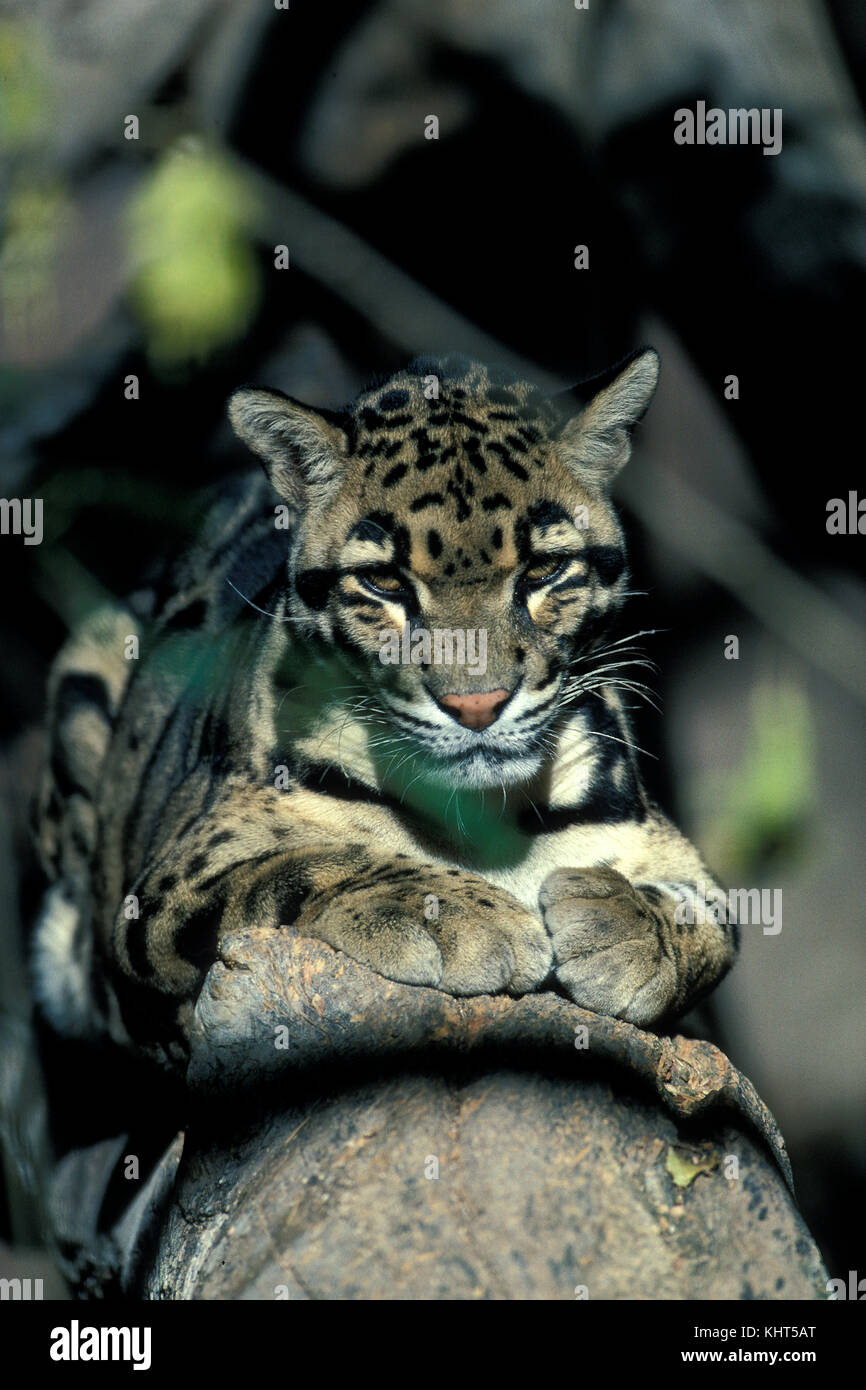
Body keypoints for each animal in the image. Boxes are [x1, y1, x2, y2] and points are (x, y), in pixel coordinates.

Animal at [31, 349, 737, 1070]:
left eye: (543, 570)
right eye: (383, 582)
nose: (477, 705)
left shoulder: (664, 843)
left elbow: (715, 920)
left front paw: (622, 923)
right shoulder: (167, 884)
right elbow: (302, 860)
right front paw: (461, 913)